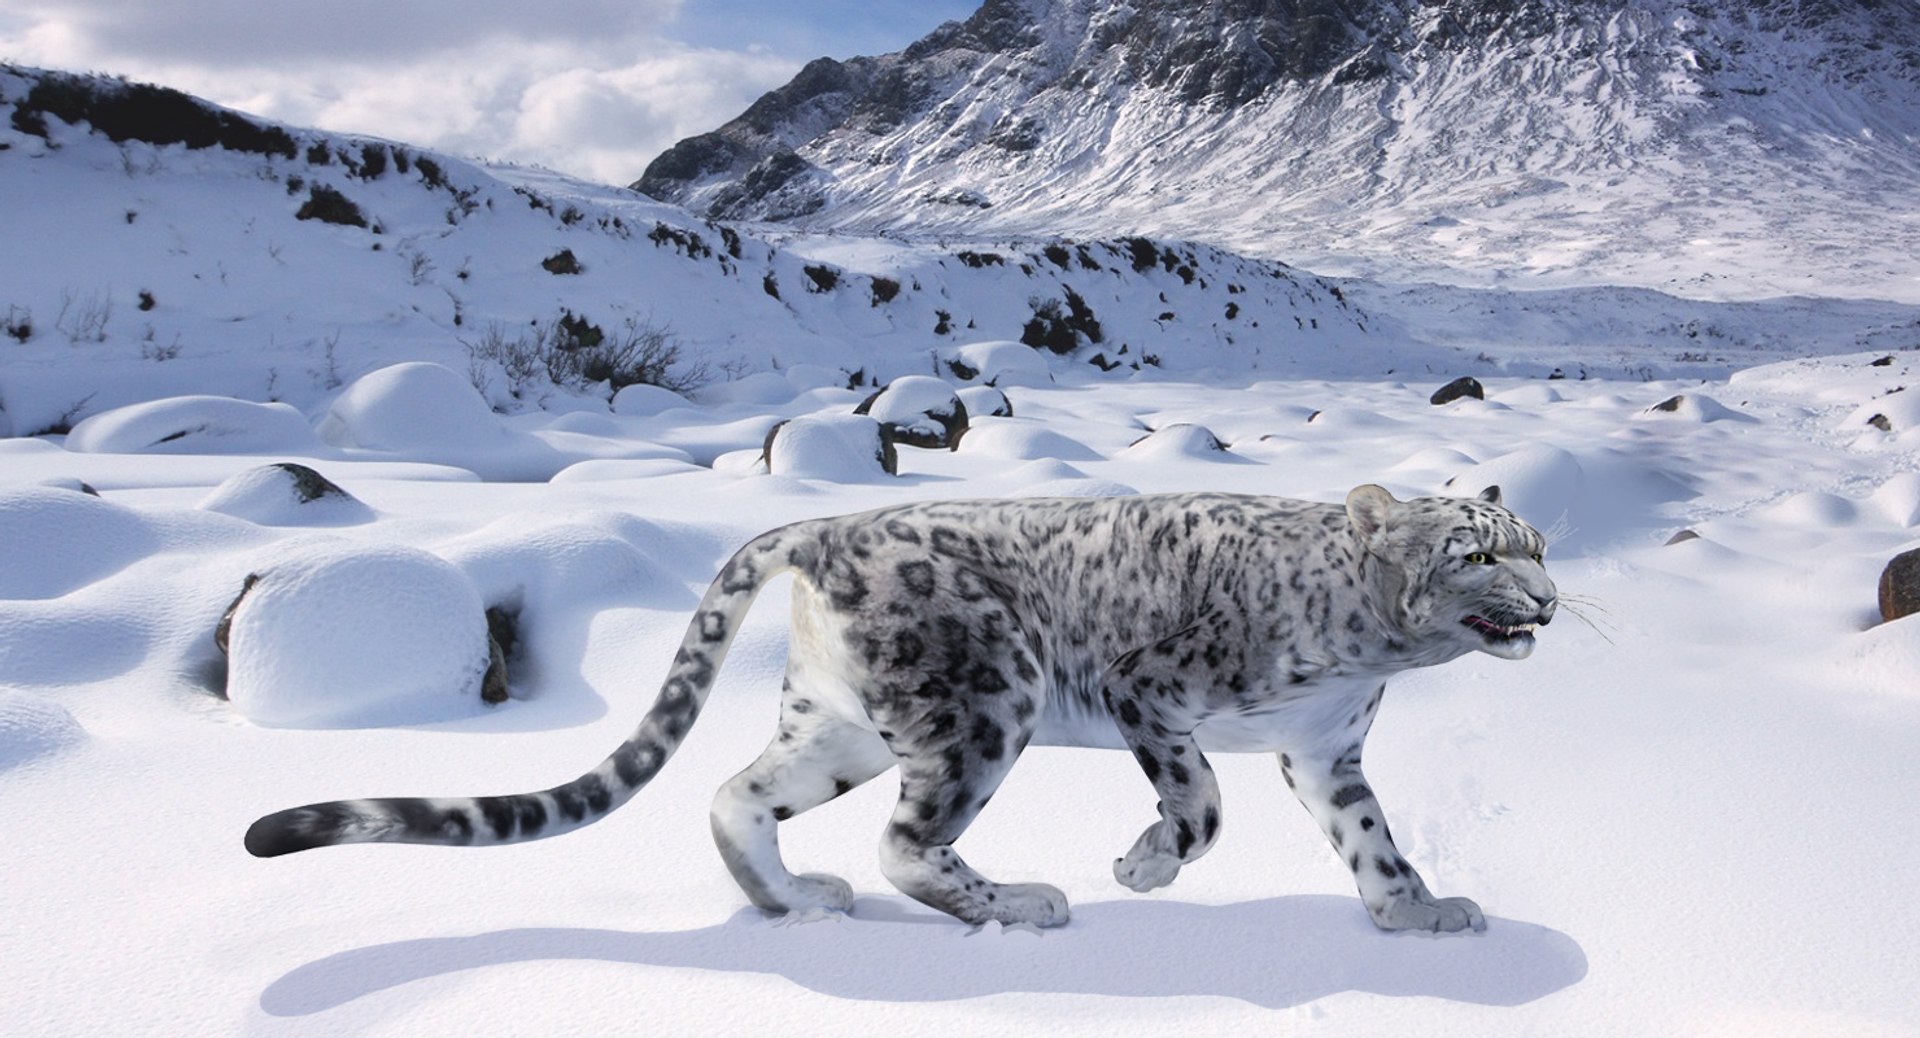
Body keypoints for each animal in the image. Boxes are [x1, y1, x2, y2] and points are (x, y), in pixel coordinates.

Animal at [246, 484, 1556, 934]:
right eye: (1480, 550)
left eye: (1536, 544)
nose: (1548, 597)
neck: (1361, 651)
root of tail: (823, 526)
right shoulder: (1153, 689)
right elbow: (1202, 799)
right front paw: (1144, 864)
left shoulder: (1327, 752)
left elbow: (1371, 839)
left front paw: (1418, 912)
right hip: (987, 697)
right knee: (907, 843)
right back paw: (1020, 903)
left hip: (837, 726)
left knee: (736, 792)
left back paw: (793, 902)